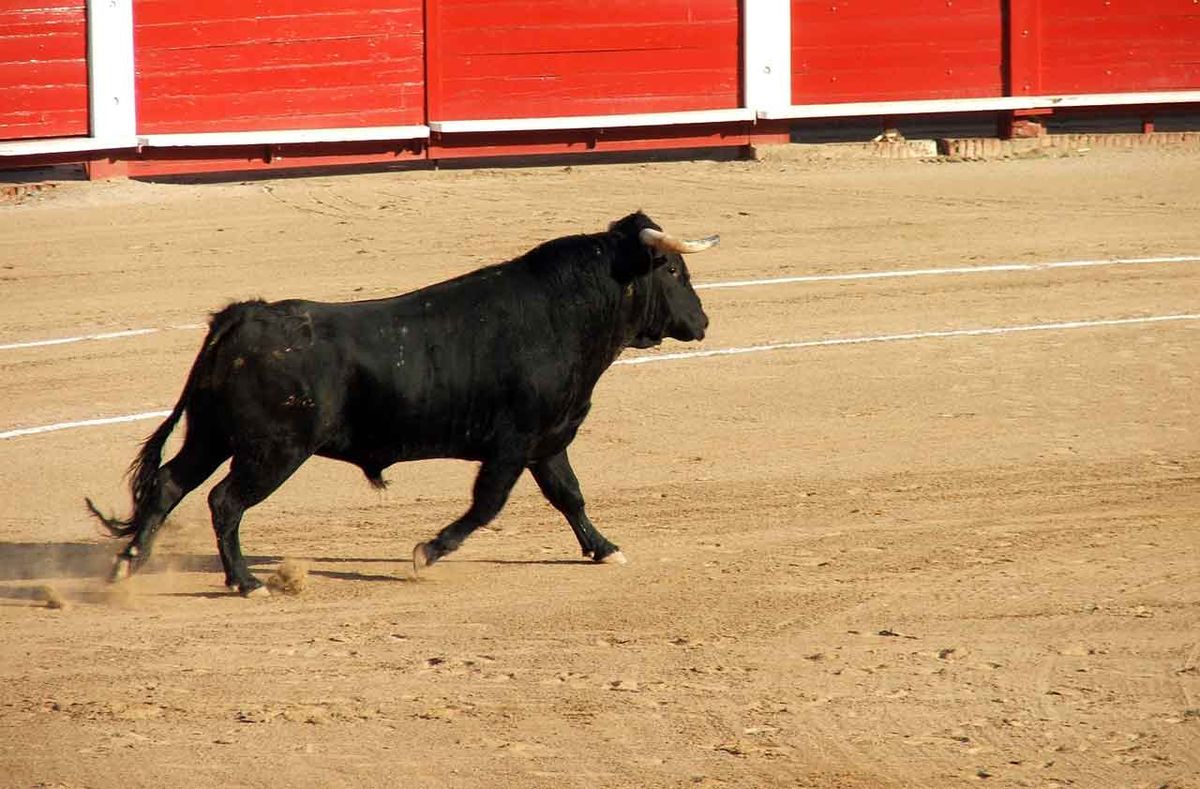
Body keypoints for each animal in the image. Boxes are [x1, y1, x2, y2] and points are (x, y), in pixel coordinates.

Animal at [85, 211, 716, 596]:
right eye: (674, 269)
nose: (703, 322)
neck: (565, 316)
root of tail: (244, 315)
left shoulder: (547, 441)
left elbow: (569, 495)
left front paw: (604, 549)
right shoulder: (514, 445)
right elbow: (487, 506)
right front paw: (426, 552)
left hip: (212, 434)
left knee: (170, 485)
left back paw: (128, 566)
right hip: (273, 451)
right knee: (224, 502)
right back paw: (245, 581)